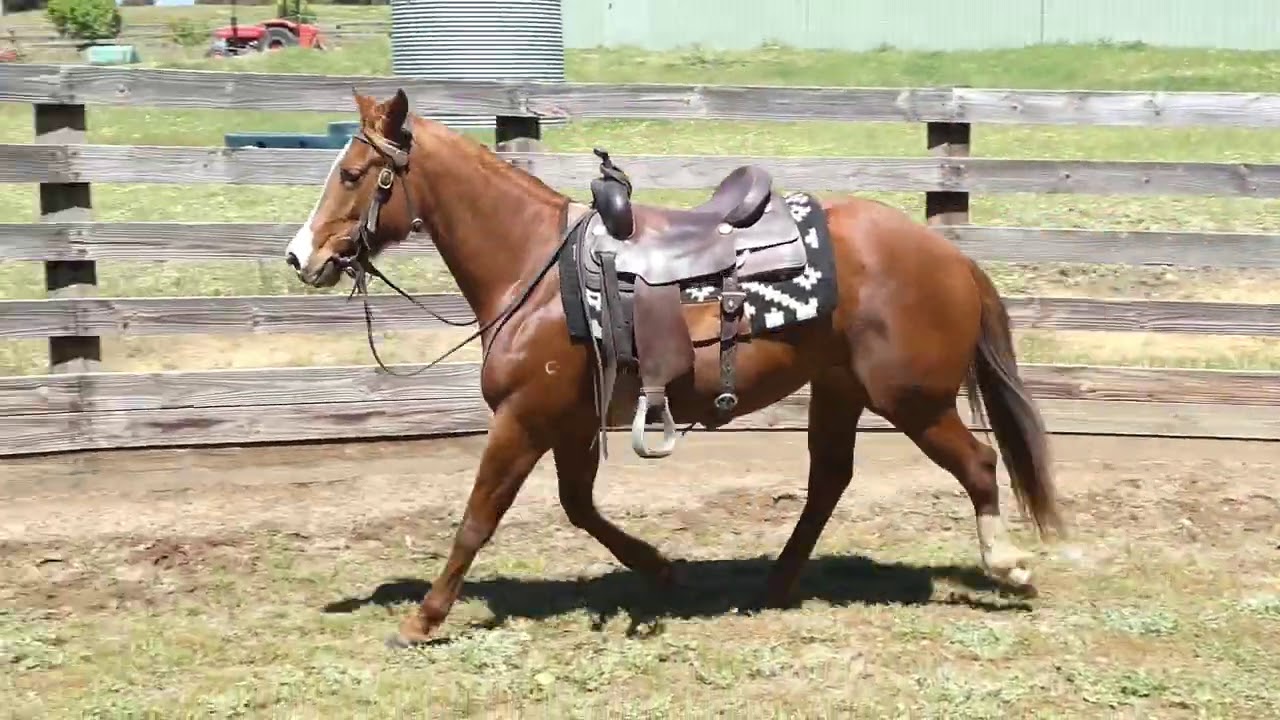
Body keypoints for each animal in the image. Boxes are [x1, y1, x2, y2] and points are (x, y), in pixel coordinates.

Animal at [283, 88, 1065, 646]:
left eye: (352, 174)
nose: (299, 257)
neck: (537, 273)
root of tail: (951, 257)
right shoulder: (569, 421)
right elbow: (579, 506)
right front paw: (660, 568)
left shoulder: (523, 419)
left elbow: (478, 517)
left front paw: (423, 618)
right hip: (840, 390)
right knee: (828, 483)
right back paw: (773, 586)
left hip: (913, 400)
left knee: (978, 466)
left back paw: (1010, 568)